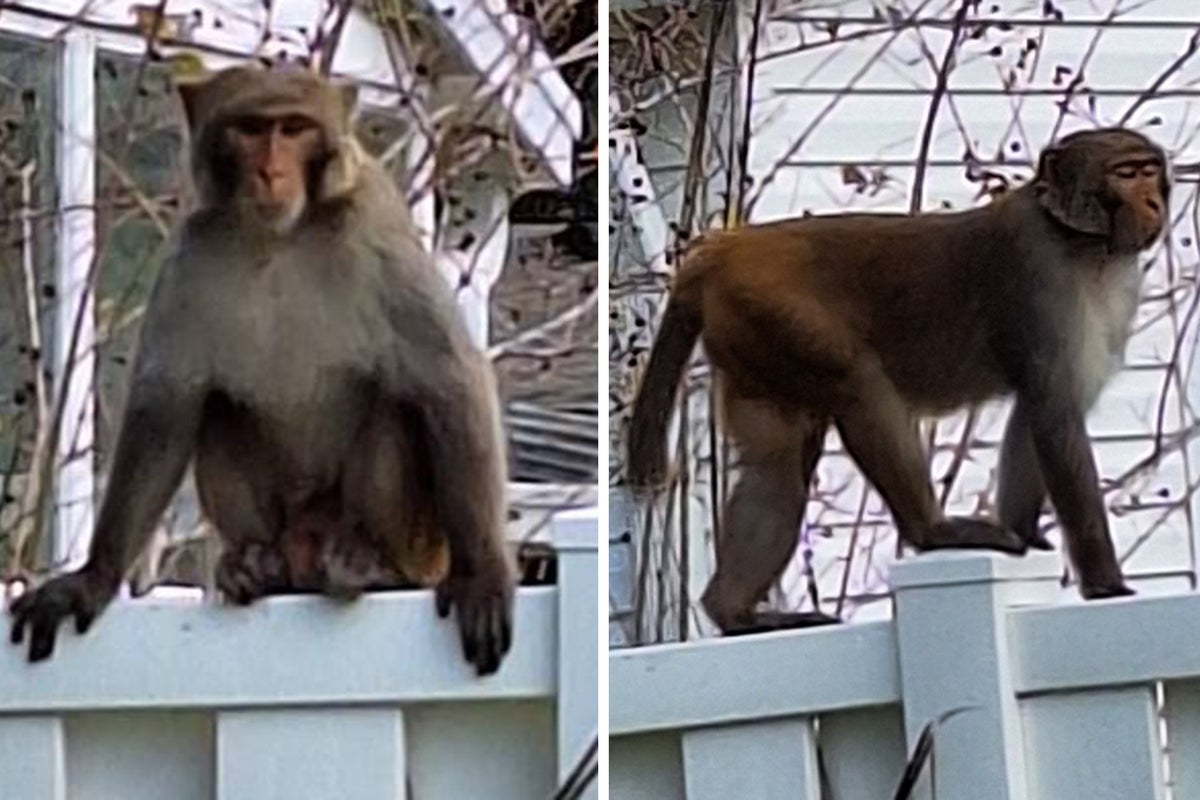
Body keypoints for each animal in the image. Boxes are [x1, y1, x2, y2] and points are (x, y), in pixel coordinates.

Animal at [8, 65, 515, 676]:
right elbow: (167, 408)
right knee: (217, 409)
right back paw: (255, 565)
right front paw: (92, 578)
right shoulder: (193, 251)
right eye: (250, 129)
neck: (281, 234)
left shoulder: (374, 231)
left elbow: (449, 380)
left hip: (418, 539)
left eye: (293, 128)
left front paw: (483, 573)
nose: (271, 171)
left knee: (392, 404)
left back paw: (370, 561)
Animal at [626, 128, 1169, 635]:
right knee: (858, 384)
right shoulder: (1036, 269)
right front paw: (1106, 585)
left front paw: (1023, 529)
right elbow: (1054, 412)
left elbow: (1043, 412)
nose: (1153, 201)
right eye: (1125, 173)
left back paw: (735, 612)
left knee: (775, 466)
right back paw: (930, 530)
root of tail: (723, 252)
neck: (1079, 243)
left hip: (749, 339)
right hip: (770, 306)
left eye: (1148, 170)